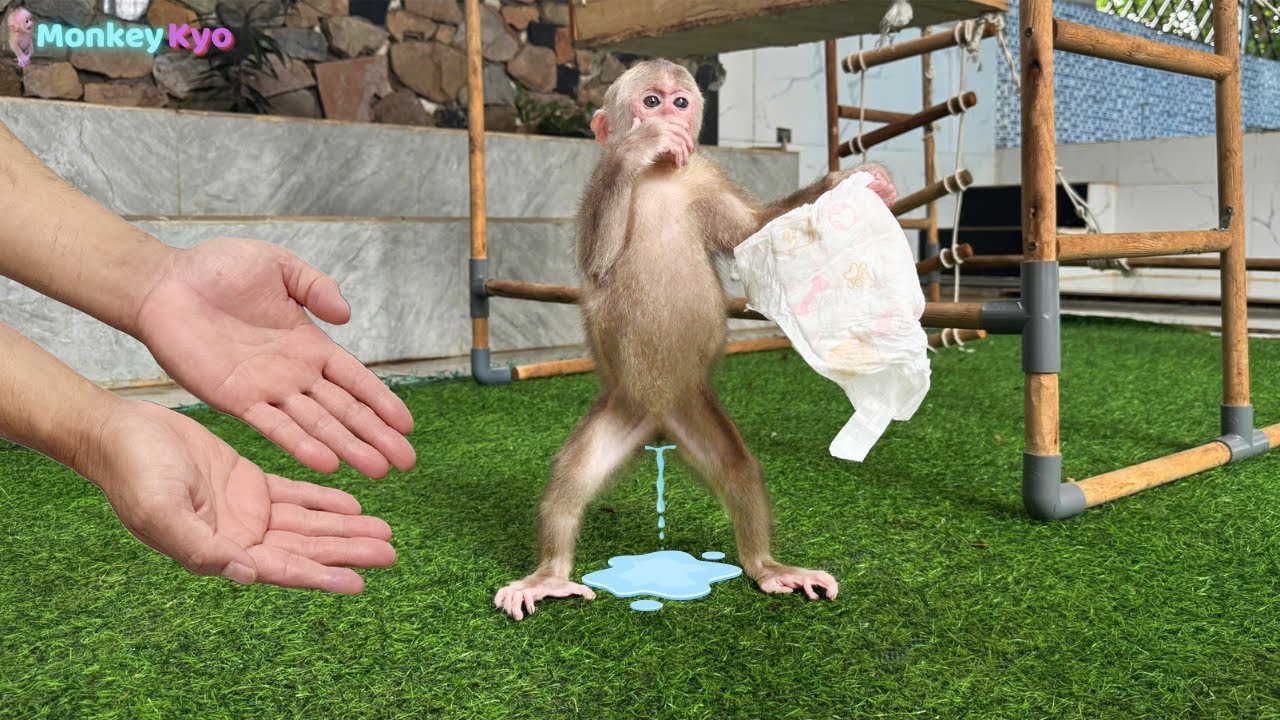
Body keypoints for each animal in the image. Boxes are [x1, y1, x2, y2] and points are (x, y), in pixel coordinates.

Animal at [494, 59, 898, 621]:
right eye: (650, 101)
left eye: (680, 101)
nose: (668, 116)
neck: (662, 177)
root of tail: (659, 419)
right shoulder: (600, 178)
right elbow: (597, 260)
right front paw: (643, 145)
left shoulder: (704, 176)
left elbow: (752, 227)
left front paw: (857, 181)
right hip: (623, 406)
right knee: (571, 478)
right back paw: (549, 575)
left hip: (693, 406)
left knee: (737, 469)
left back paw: (766, 566)